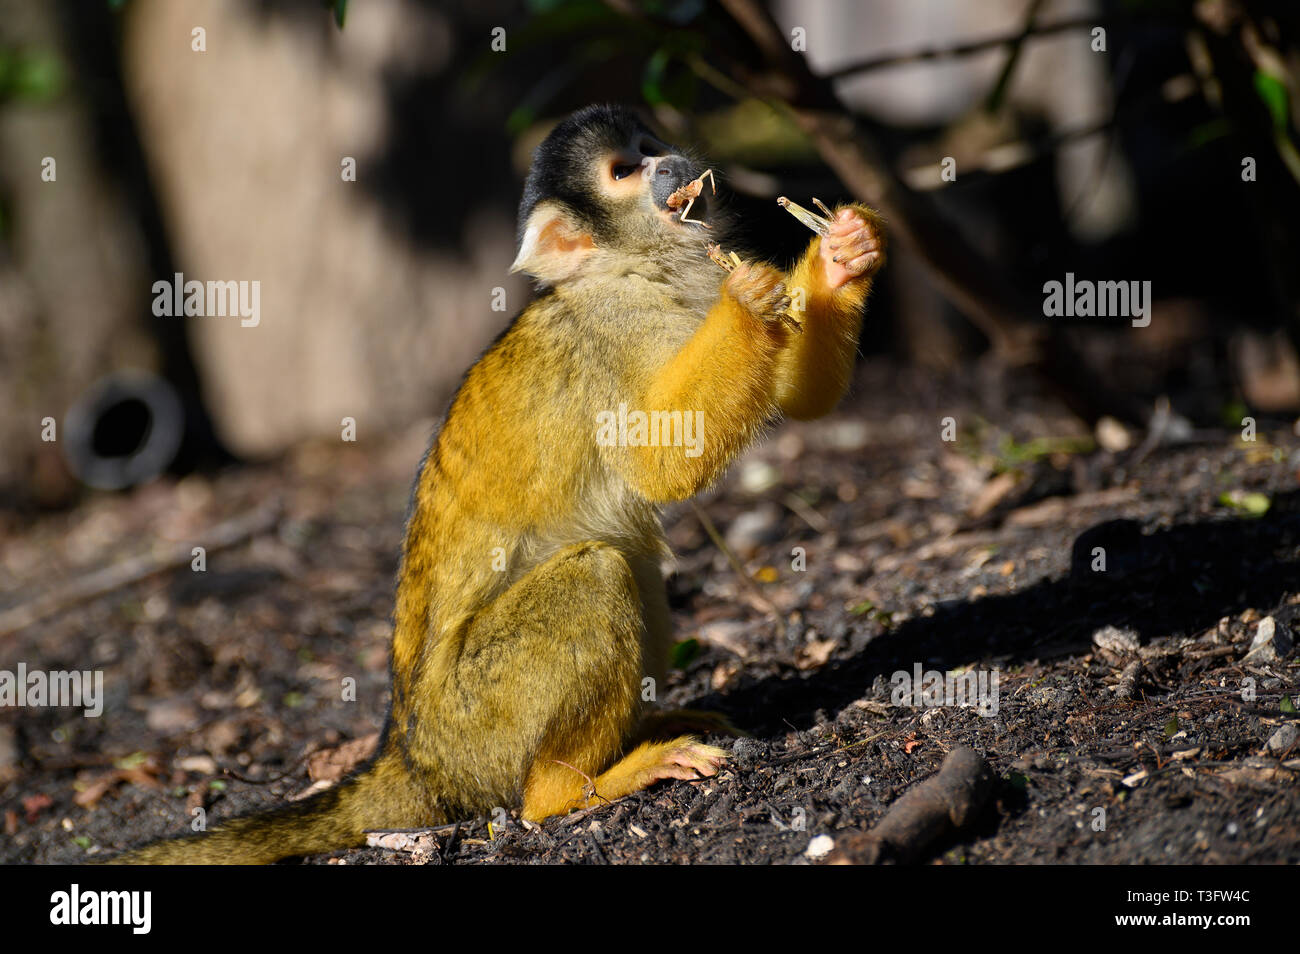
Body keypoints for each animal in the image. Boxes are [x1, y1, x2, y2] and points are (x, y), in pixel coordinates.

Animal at [109, 104, 885, 864]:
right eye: (625, 170)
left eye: (648, 141)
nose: (670, 162)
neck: (642, 269)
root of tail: (411, 758)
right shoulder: (609, 334)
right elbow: (658, 462)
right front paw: (745, 299)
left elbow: (797, 401)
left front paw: (841, 255)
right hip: (478, 721)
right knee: (599, 574)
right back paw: (567, 790)